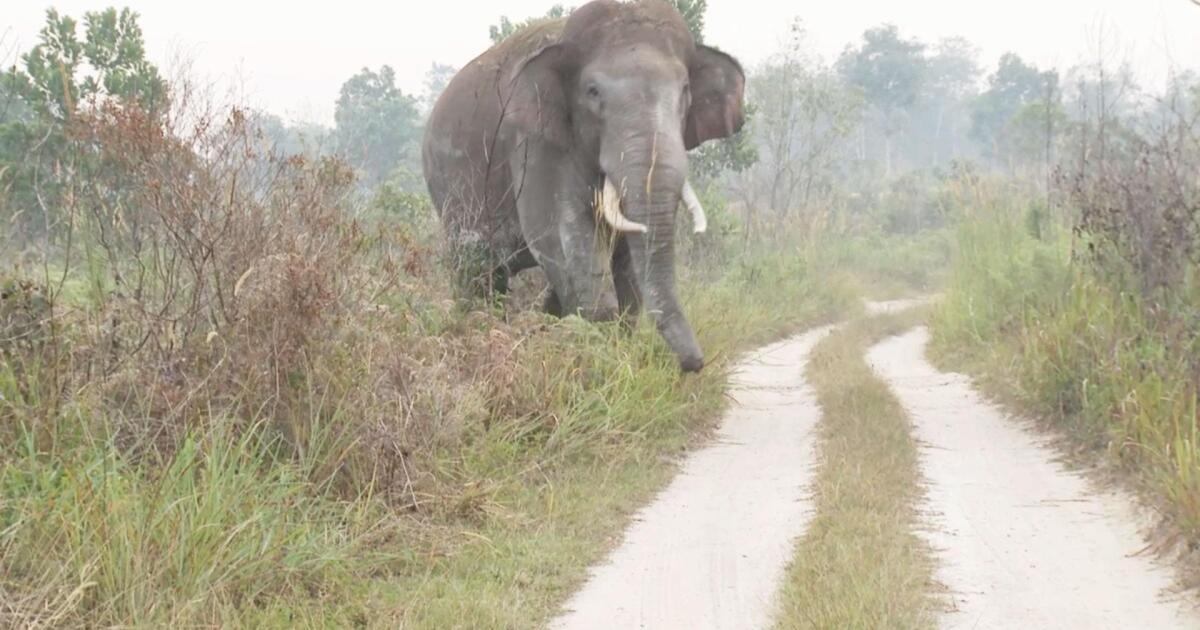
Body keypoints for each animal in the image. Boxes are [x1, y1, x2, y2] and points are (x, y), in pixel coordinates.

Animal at [422, 0, 745, 372]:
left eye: (685, 90)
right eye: (593, 92)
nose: (694, 364)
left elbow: (624, 257)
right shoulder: (535, 142)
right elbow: (559, 231)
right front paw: (595, 355)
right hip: (449, 193)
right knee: (478, 274)